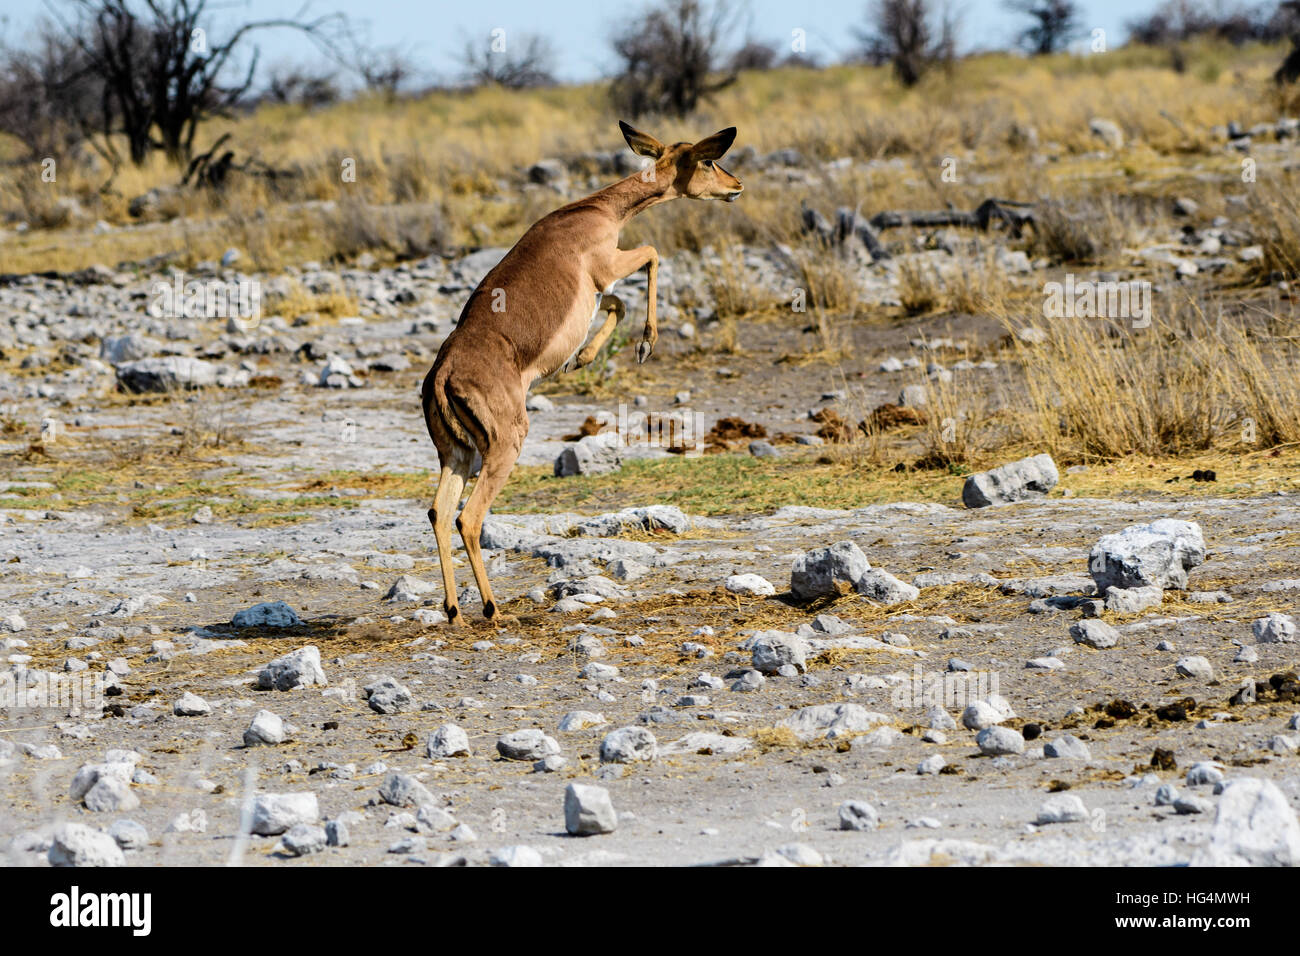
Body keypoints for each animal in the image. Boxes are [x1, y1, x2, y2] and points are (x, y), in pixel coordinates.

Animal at [421, 120, 743, 624]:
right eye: (708, 160)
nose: (736, 186)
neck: (598, 211)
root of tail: (443, 373)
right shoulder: (608, 266)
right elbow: (652, 255)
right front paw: (645, 344)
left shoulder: (600, 287)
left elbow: (619, 302)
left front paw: (583, 358)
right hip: (503, 445)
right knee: (467, 517)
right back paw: (495, 610)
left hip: (456, 453)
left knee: (438, 512)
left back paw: (454, 611)